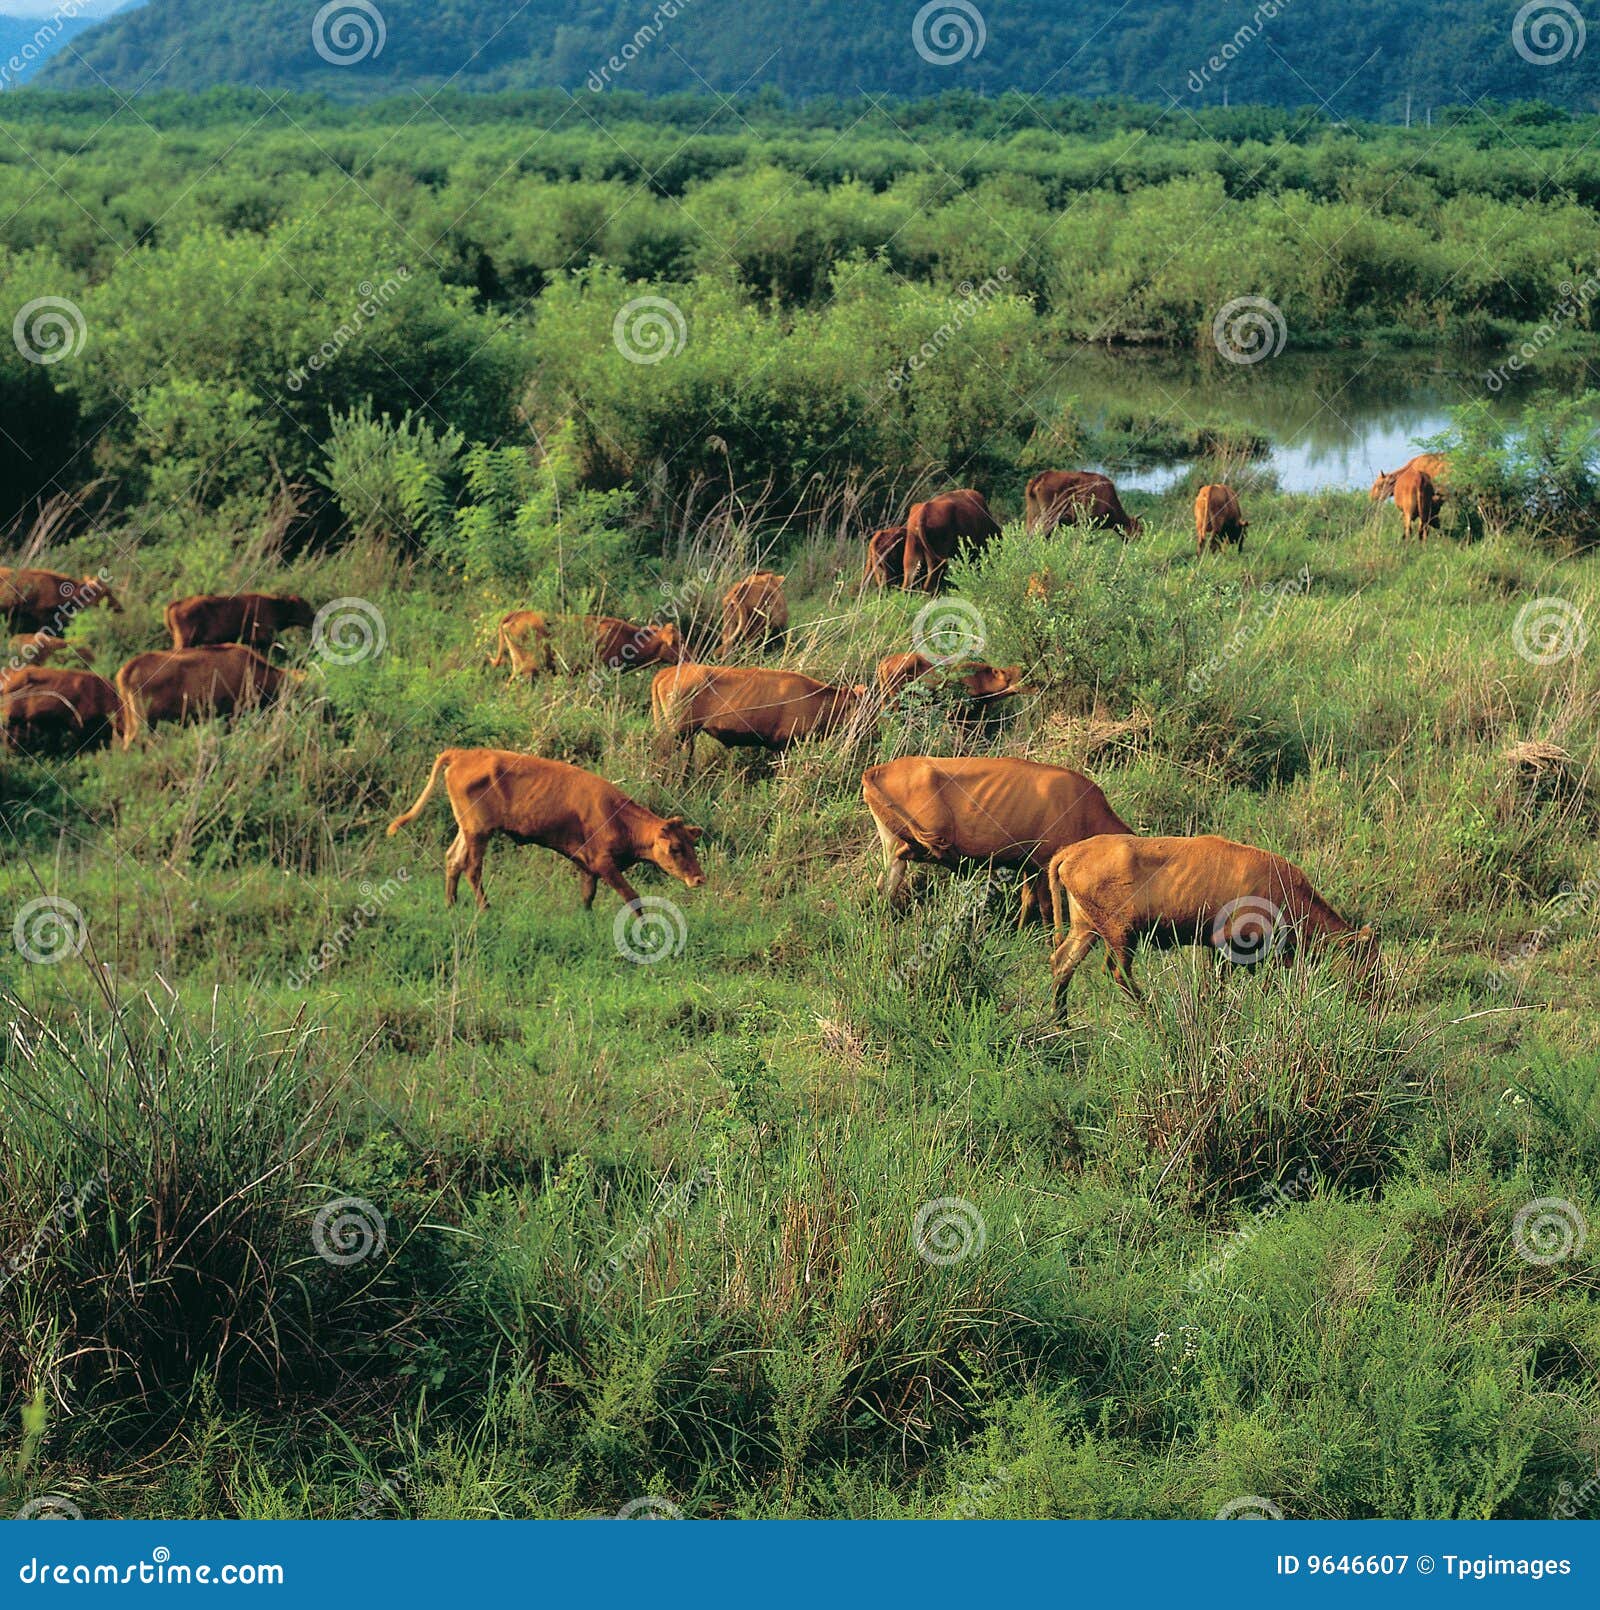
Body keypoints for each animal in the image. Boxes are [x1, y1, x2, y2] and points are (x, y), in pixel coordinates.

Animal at [165, 592, 316, 651]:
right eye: (305, 607)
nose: (314, 617)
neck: (275, 607)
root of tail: (178, 603)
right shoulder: (260, 642)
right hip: (184, 642)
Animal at [386, 747, 706, 912]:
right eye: (675, 848)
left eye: (692, 846)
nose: (699, 879)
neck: (619, 817)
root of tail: (464, 753)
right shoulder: (604, 862)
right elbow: (632, 896)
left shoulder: (587, 865)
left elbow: (587, 897)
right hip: (478, 831)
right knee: (472, 868)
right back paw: (485, 907)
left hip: (468, 828)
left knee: (453, 859)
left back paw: (450, 905)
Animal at [862, 754, 1132, 929]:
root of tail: (876, 770)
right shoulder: (1044, 861)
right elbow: (1046, 905)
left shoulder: (1028, 865)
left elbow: (1028, 900)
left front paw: (1022, 933)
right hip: (924, 836)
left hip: (890, 842)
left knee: (885, 886)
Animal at [1045, 832, 1377, 1015]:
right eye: (1366, 964)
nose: (1376, 999)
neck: (1284, 890)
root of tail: (1071, 852)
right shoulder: (1229, 947)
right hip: (1121, 933)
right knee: (1117, 972)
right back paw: (1154, 1017)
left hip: (1086, 929)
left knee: (1063, 963)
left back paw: (1060, 1024)